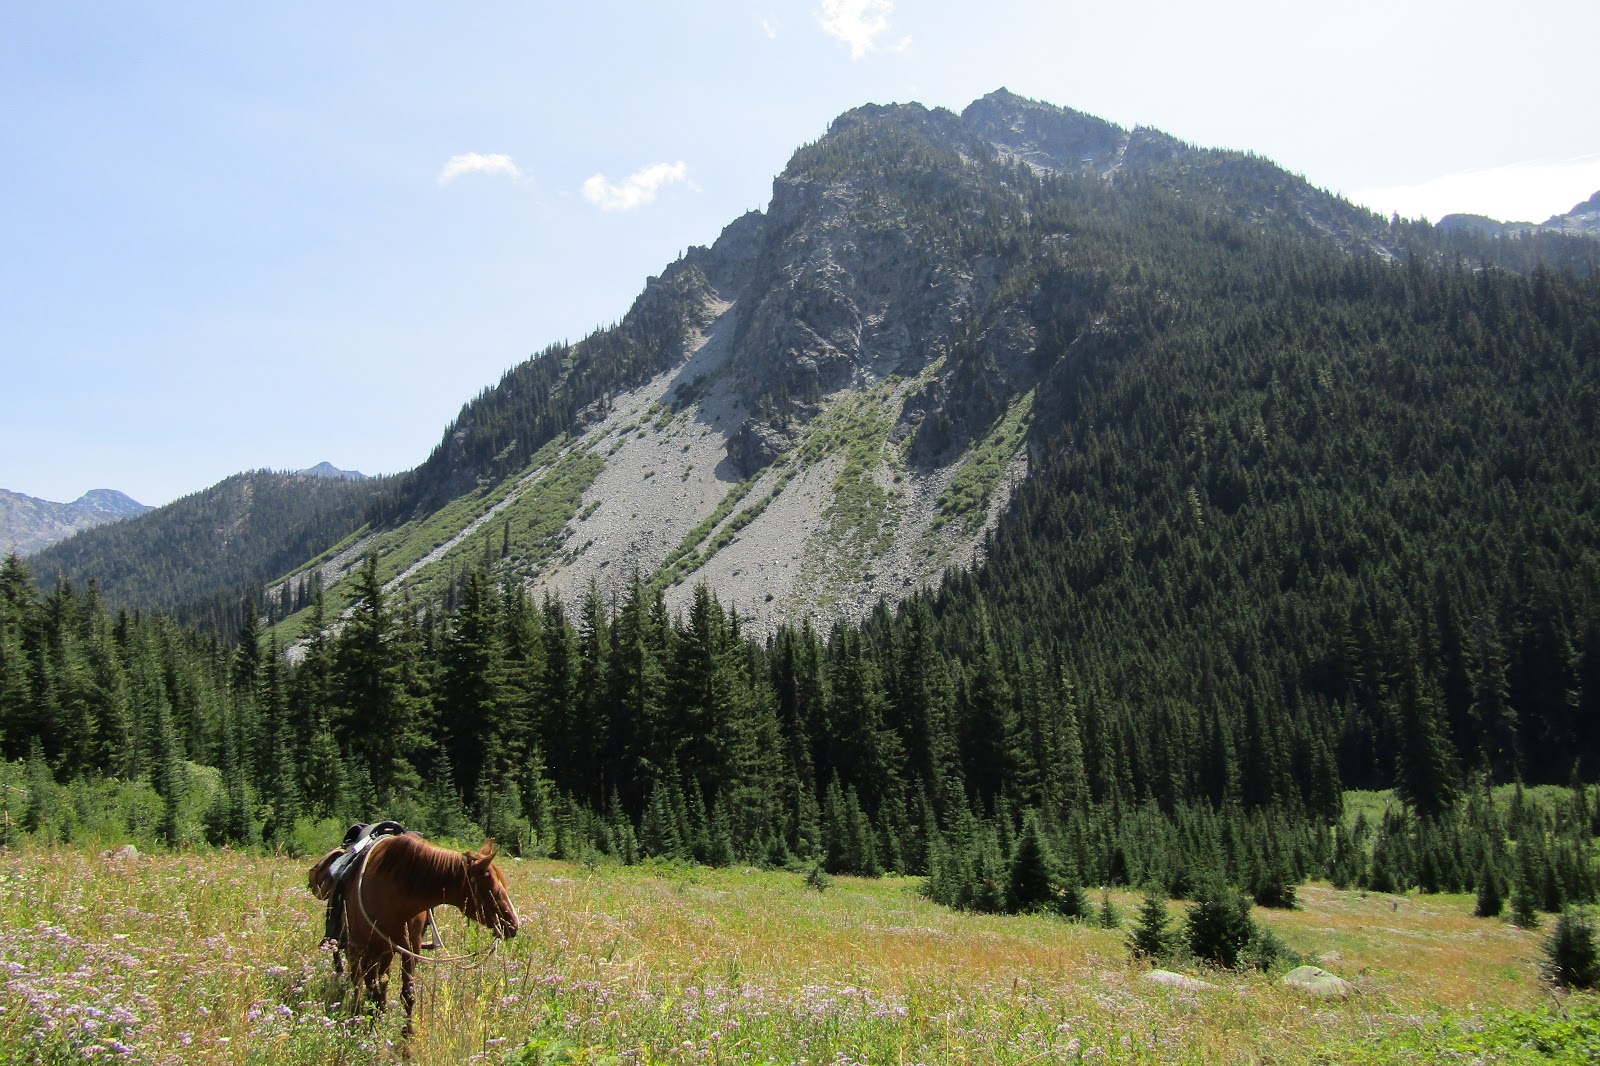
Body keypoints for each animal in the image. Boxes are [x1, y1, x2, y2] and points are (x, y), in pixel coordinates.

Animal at [308, 834, 519, 1033]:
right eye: (490, 887)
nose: (513, 924)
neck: (396, 894)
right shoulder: (365, 949)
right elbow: (369, 987)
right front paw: (370, 1023)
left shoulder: (411, 949)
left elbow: (406, 993)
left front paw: (406, 1034)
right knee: (358, 978)